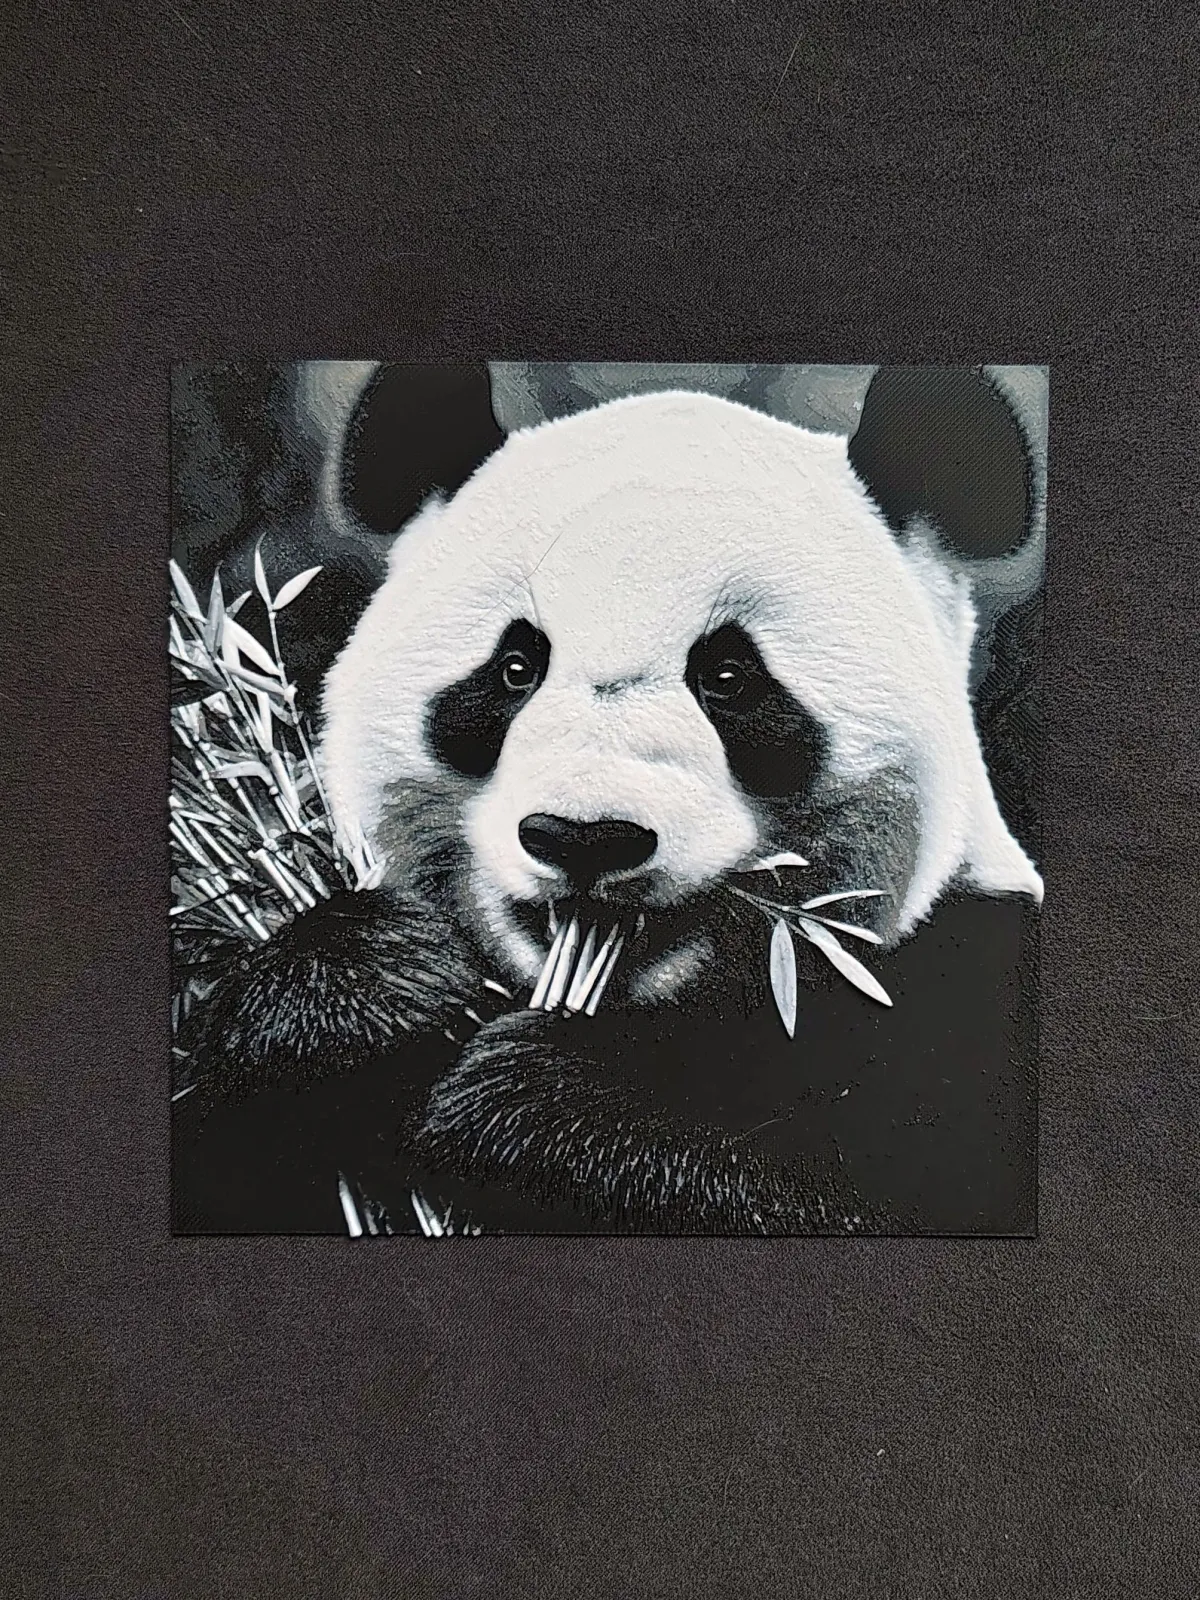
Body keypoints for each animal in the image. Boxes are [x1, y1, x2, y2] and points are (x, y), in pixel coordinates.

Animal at [172, 364, 1043, 1237]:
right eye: (515, 668)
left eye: (729, 677)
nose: (585, 837)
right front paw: (366, 994)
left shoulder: (963, 999)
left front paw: (533, 1106)